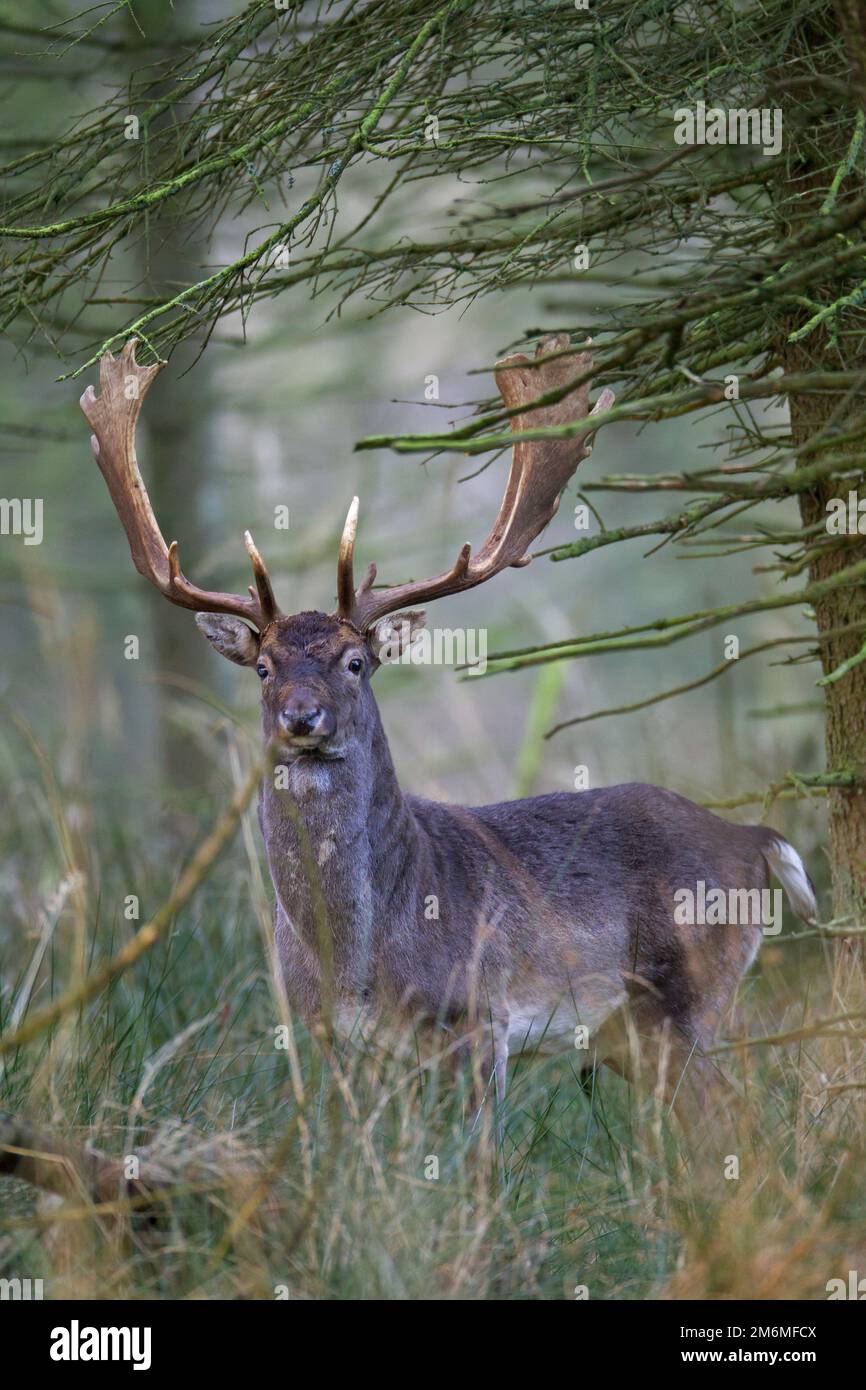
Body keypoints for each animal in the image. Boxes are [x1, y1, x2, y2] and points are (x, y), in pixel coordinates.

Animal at [67, 336, 817, 1125]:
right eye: (264, 668)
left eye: (357, 661)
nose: (302, 717)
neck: (358, 961)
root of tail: (753, 839)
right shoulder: (328, 1037)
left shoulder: (478, 1015)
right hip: (629, 1031)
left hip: (691, 990)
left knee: (737, 1108)